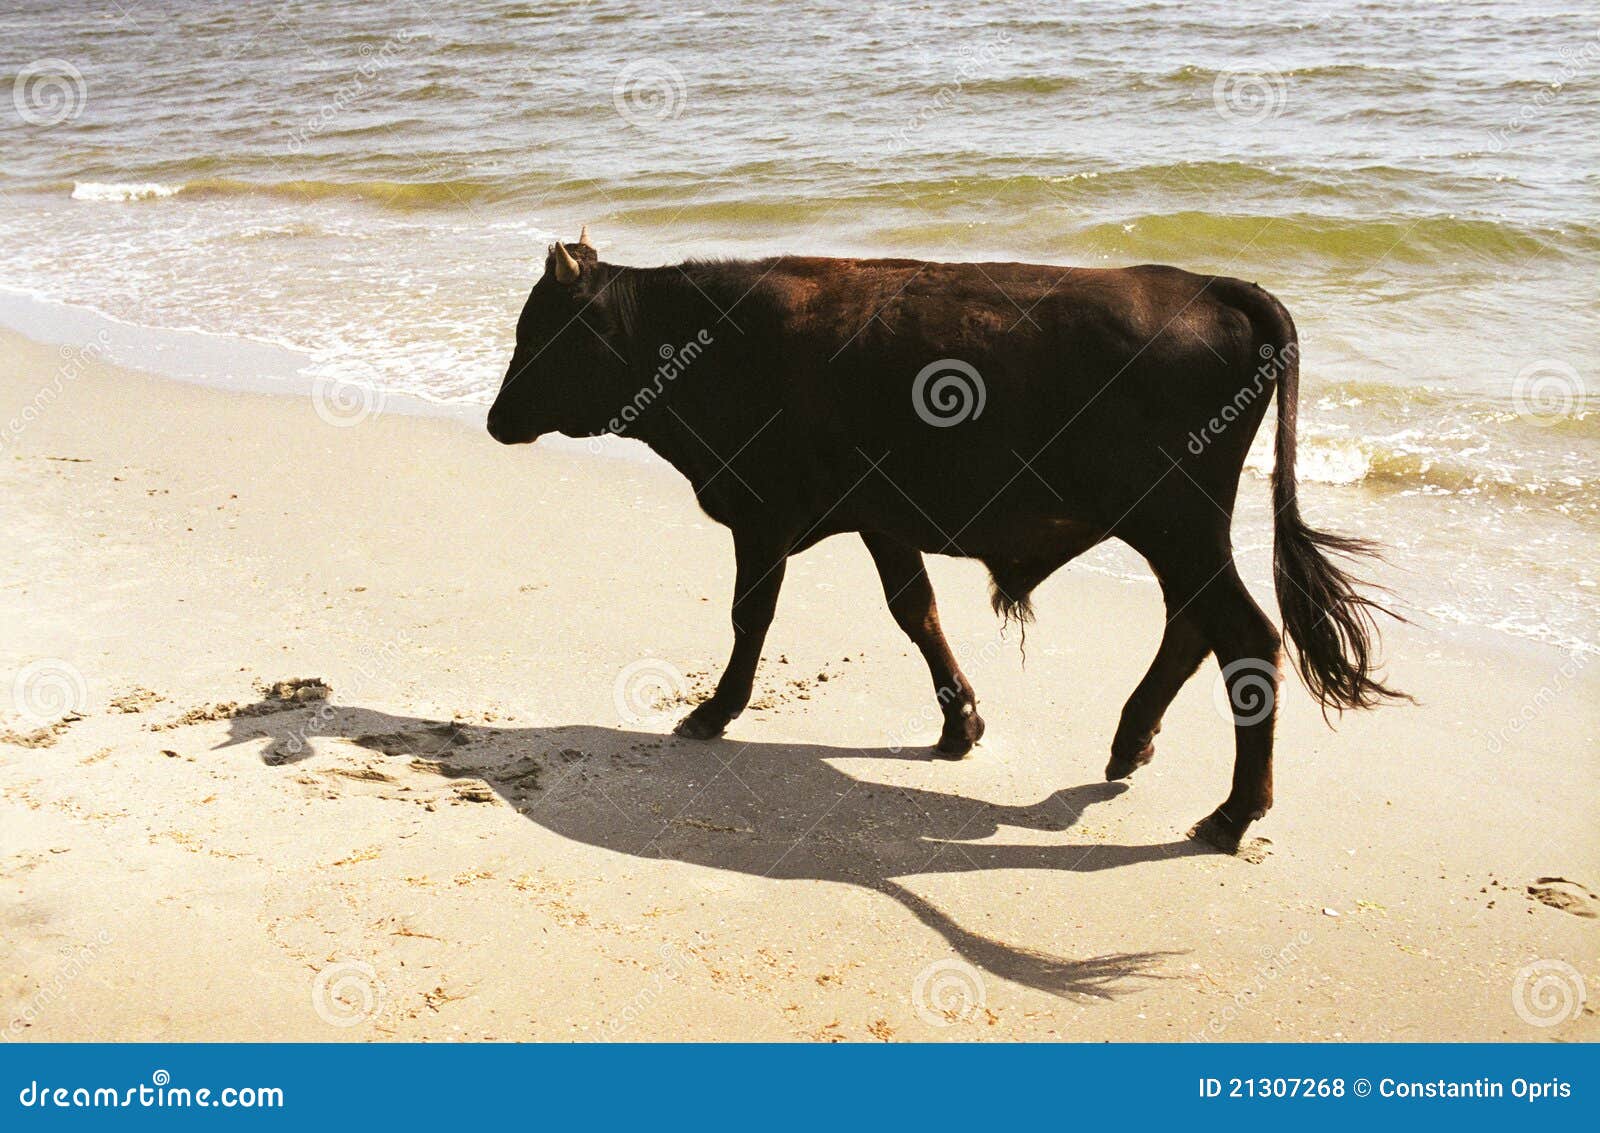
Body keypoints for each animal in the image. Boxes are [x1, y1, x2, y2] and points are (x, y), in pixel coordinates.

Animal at [486, 228, 1405, 854]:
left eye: (540, 333)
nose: (495, 420)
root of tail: (1214, 284)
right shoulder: (880, 520)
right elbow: (915, 612)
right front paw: (960, 723)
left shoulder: (764, 515)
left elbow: (752, 617)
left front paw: (714, 710)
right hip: (1175, 529)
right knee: (1193, 627)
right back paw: (1129, 744)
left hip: (1178, 523)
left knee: (1244, 634)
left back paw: (1231, 812)